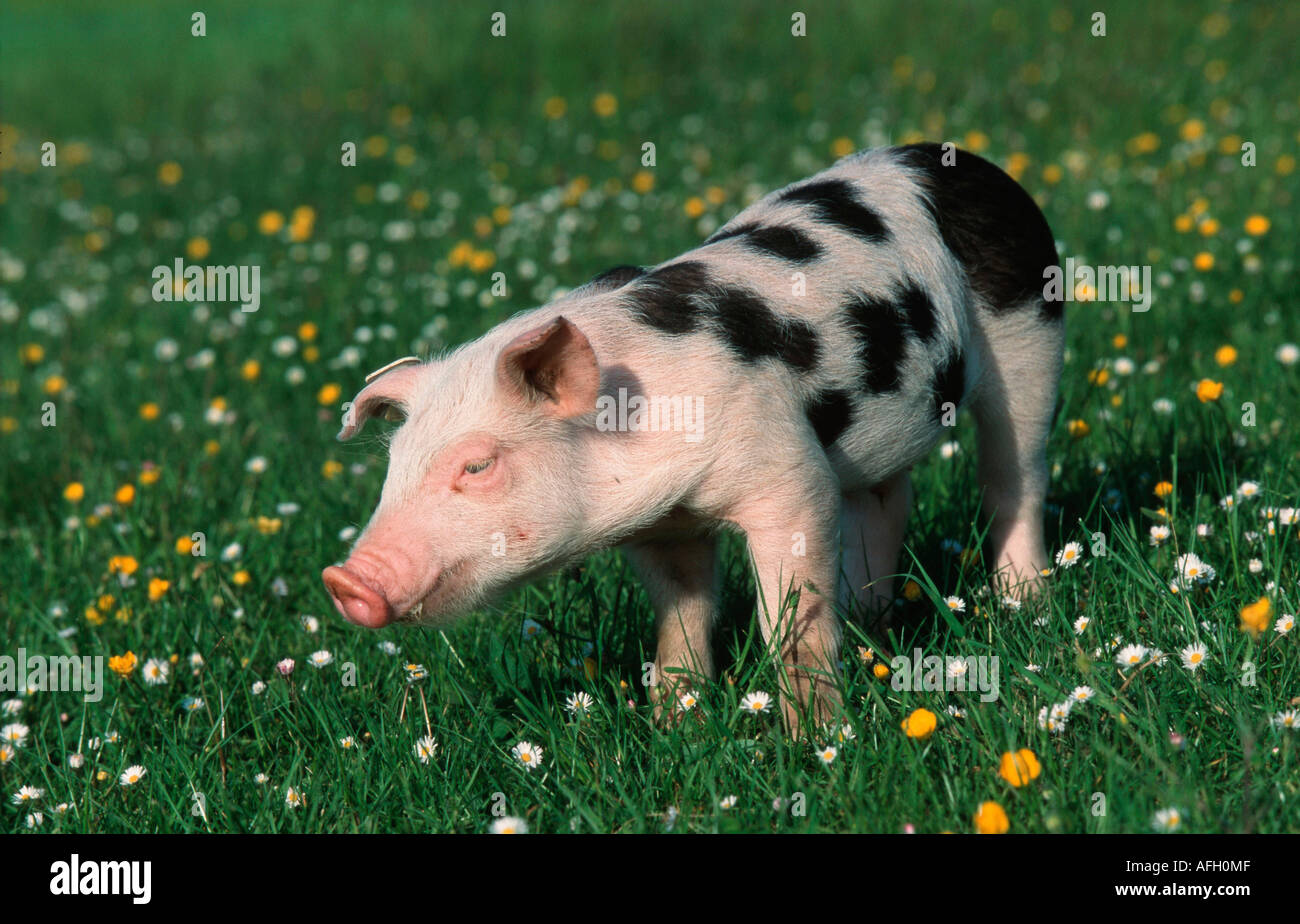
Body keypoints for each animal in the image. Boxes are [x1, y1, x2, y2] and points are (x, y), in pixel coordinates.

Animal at [322, 143, 1063, 732]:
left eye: (476, 466)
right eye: (394, 466)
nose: (344, 579)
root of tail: (959, 161)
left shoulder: (788, 476)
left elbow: (790, 619)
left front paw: (816, 740)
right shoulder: (662, 529)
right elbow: (680, 619)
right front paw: (676, 727)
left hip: (1031, 341)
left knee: (1014, 477)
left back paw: (1024, 603)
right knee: (884, 500)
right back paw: (871, 623)